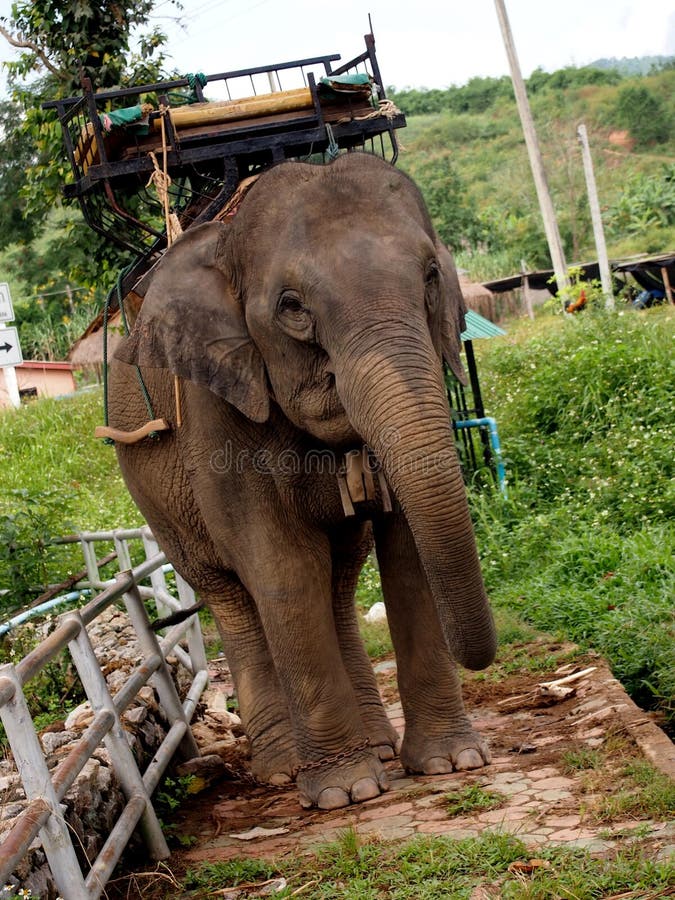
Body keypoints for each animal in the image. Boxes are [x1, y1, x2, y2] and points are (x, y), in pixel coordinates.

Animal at [109, 151, 497, 810]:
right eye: (292, 306)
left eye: (430, 277)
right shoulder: (219, 403)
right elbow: (281, 564)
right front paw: (346, 794)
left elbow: (406, 548)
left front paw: (450, 763)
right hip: (154, 498)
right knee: (233, 596)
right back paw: (285, 769)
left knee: (337, 580)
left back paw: (377, 746)